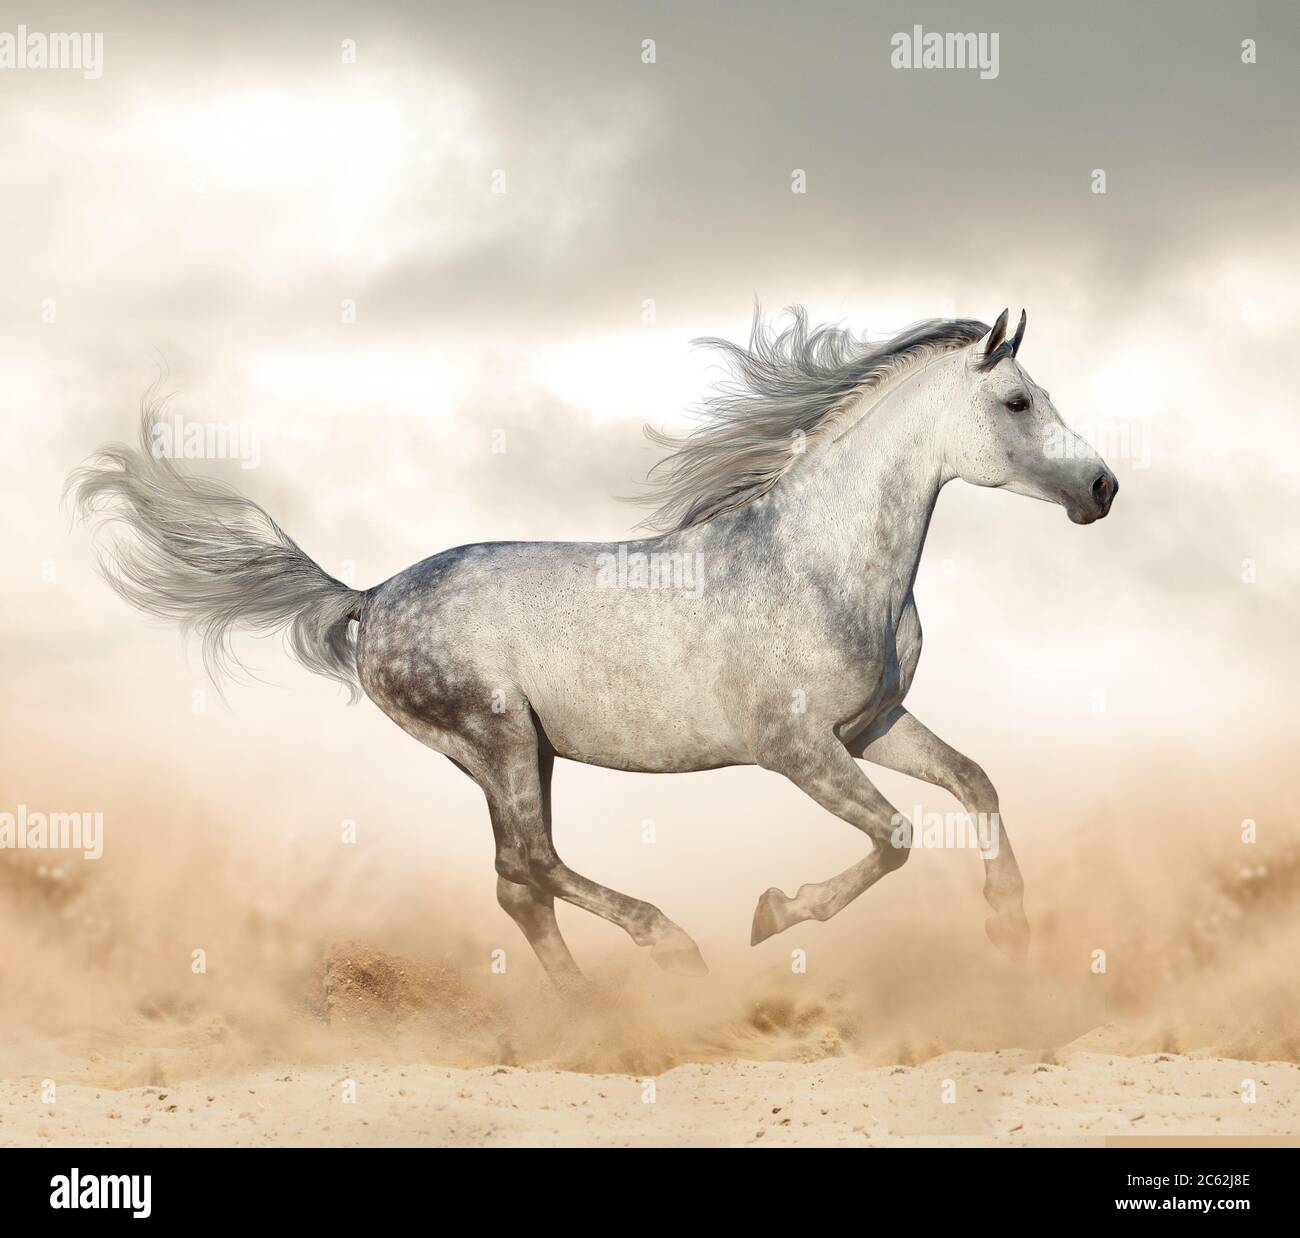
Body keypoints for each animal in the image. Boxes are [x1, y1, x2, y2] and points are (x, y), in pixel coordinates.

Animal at [69, 307, 1117, 984]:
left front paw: (1011, 925)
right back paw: (671, 948)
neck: (816, 563)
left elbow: (975, 781)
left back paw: (585, 1016)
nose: (1104, 489)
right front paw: (776, 913)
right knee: (531, 868)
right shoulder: (796, 749)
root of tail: (369, 598)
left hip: (517, 752)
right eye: (1019, 402)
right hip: (496, 738)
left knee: (517, 884)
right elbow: (895, 837)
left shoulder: (871, 727)